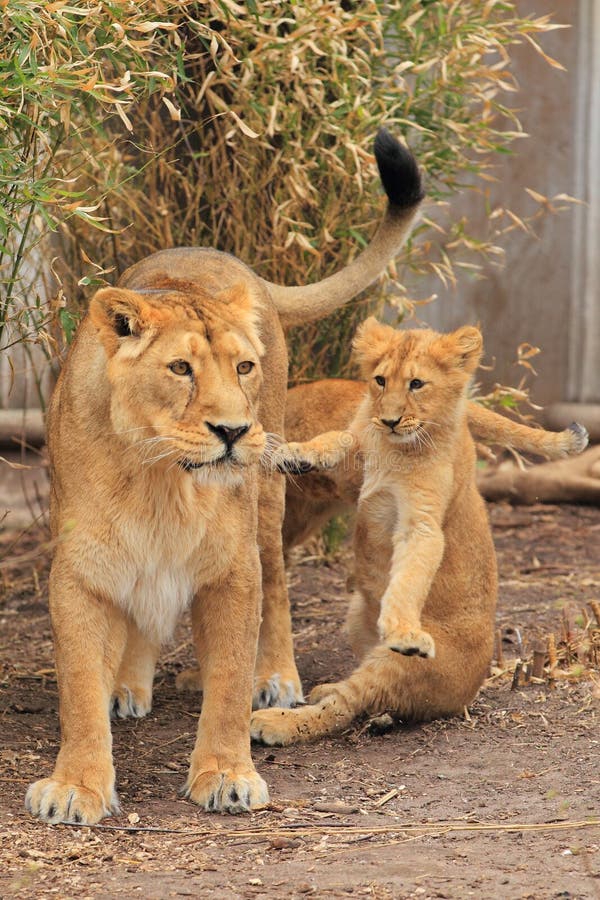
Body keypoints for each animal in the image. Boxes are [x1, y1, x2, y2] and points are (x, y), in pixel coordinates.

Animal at [25, 129, 426, 824]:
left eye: (242, 366)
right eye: (180, 368)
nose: (235, 431)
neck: (159, 479)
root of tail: (233, 261)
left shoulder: (233, 565)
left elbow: (232, 678)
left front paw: (227, 774)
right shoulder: (80, 568)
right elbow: (78, 684)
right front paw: (77, 784)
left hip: (266, 505)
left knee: (278, 589)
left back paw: (279, 678)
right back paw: (128, 684)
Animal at [250, 318, 589, 745]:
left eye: (417, 384)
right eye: (380, 380)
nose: (390, 420)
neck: (393, 446)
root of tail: (471, 688)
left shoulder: (422, 522)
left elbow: (411, 575)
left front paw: (405, 631)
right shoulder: (357, 465)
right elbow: (341, 437)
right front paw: (295, 454)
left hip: (395, 665)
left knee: (346, 706)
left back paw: (274, 722)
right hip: (357, 614)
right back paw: (323, 690)